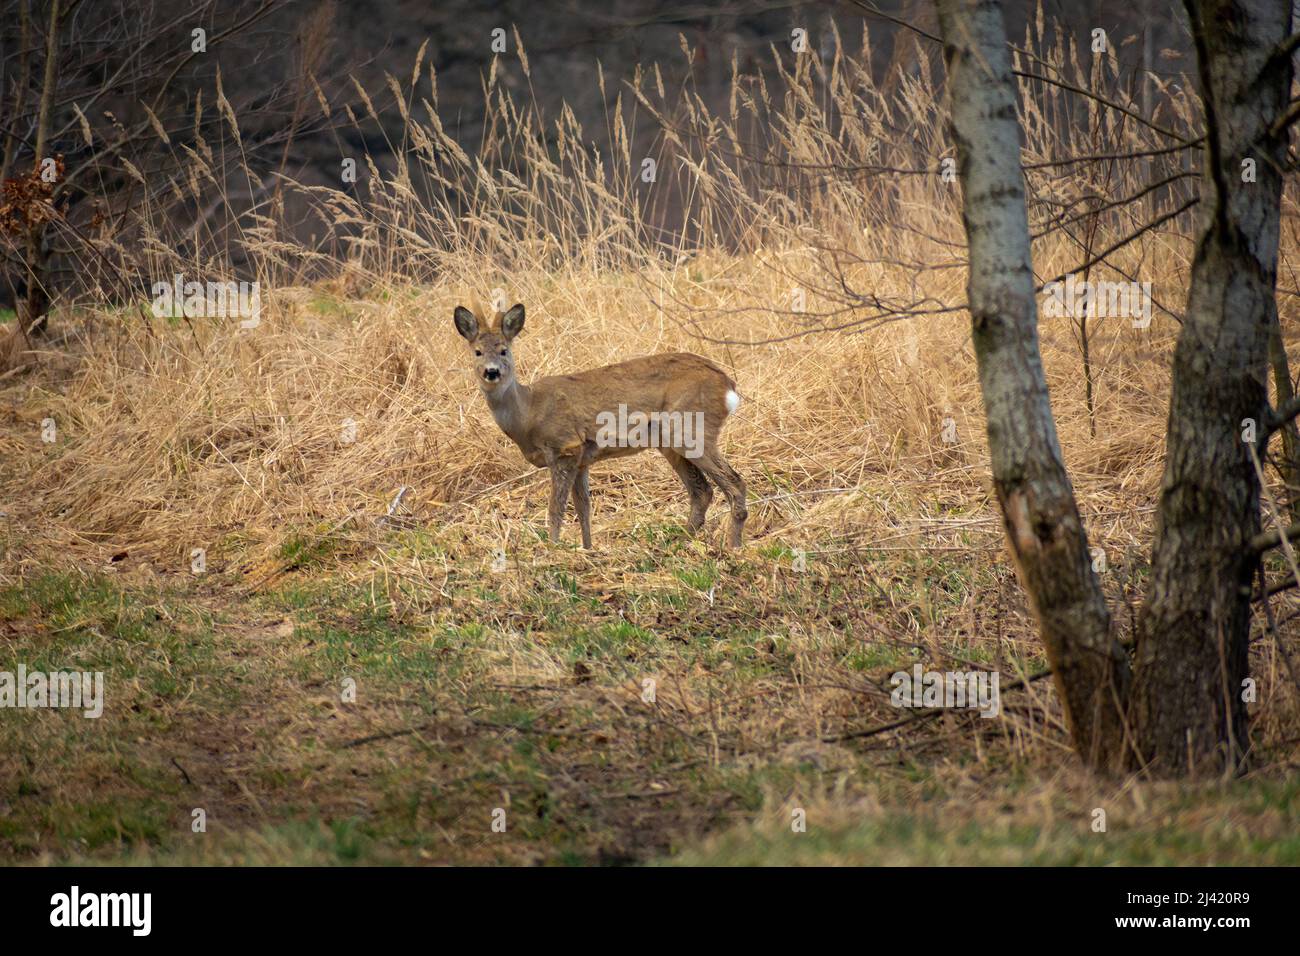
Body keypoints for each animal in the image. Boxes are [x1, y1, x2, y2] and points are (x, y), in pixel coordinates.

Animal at [454, 301, 748, 549]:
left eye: (504, 350)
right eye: (477, 352)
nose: (492, 371)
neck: (529, 413)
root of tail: (728, 386)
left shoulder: (565, 446)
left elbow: (556, 508)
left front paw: (553, 549)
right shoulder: (583, 458)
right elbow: (583, 509)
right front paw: (587, 549)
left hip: (691, 429)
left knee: (734, 483)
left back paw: (732, 547)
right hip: (669, 441)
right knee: (702, 491)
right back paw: (677, 543)